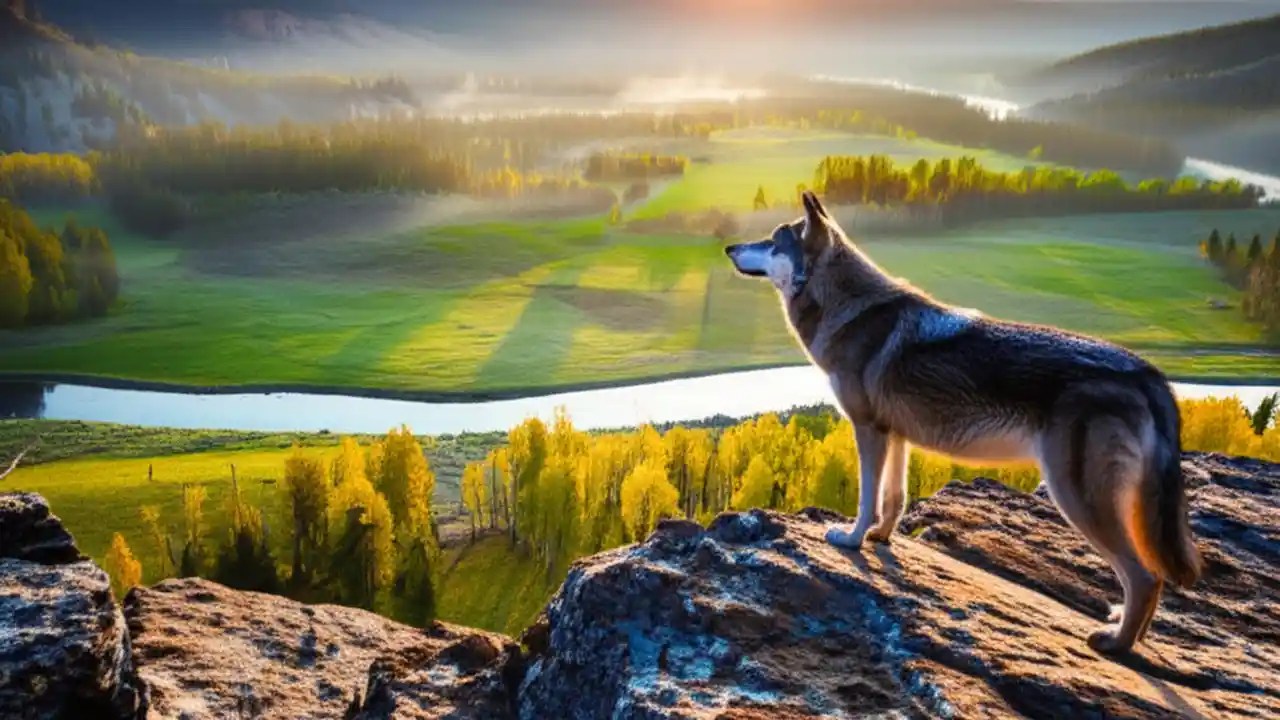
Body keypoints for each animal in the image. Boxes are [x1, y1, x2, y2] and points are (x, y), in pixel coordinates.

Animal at [724, 191, 1202, 654]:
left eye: (772, 240)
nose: (728, 247)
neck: (849, 309)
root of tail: (1147, 372)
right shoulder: (896, 435)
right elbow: (893, 499)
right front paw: (879, 537)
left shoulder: (868, 429)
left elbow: (866, 498)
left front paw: (852, 539)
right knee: (1151, 577)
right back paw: (1128, 631)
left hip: (1076, 497)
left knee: (1146, 575)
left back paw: (1117, 644)